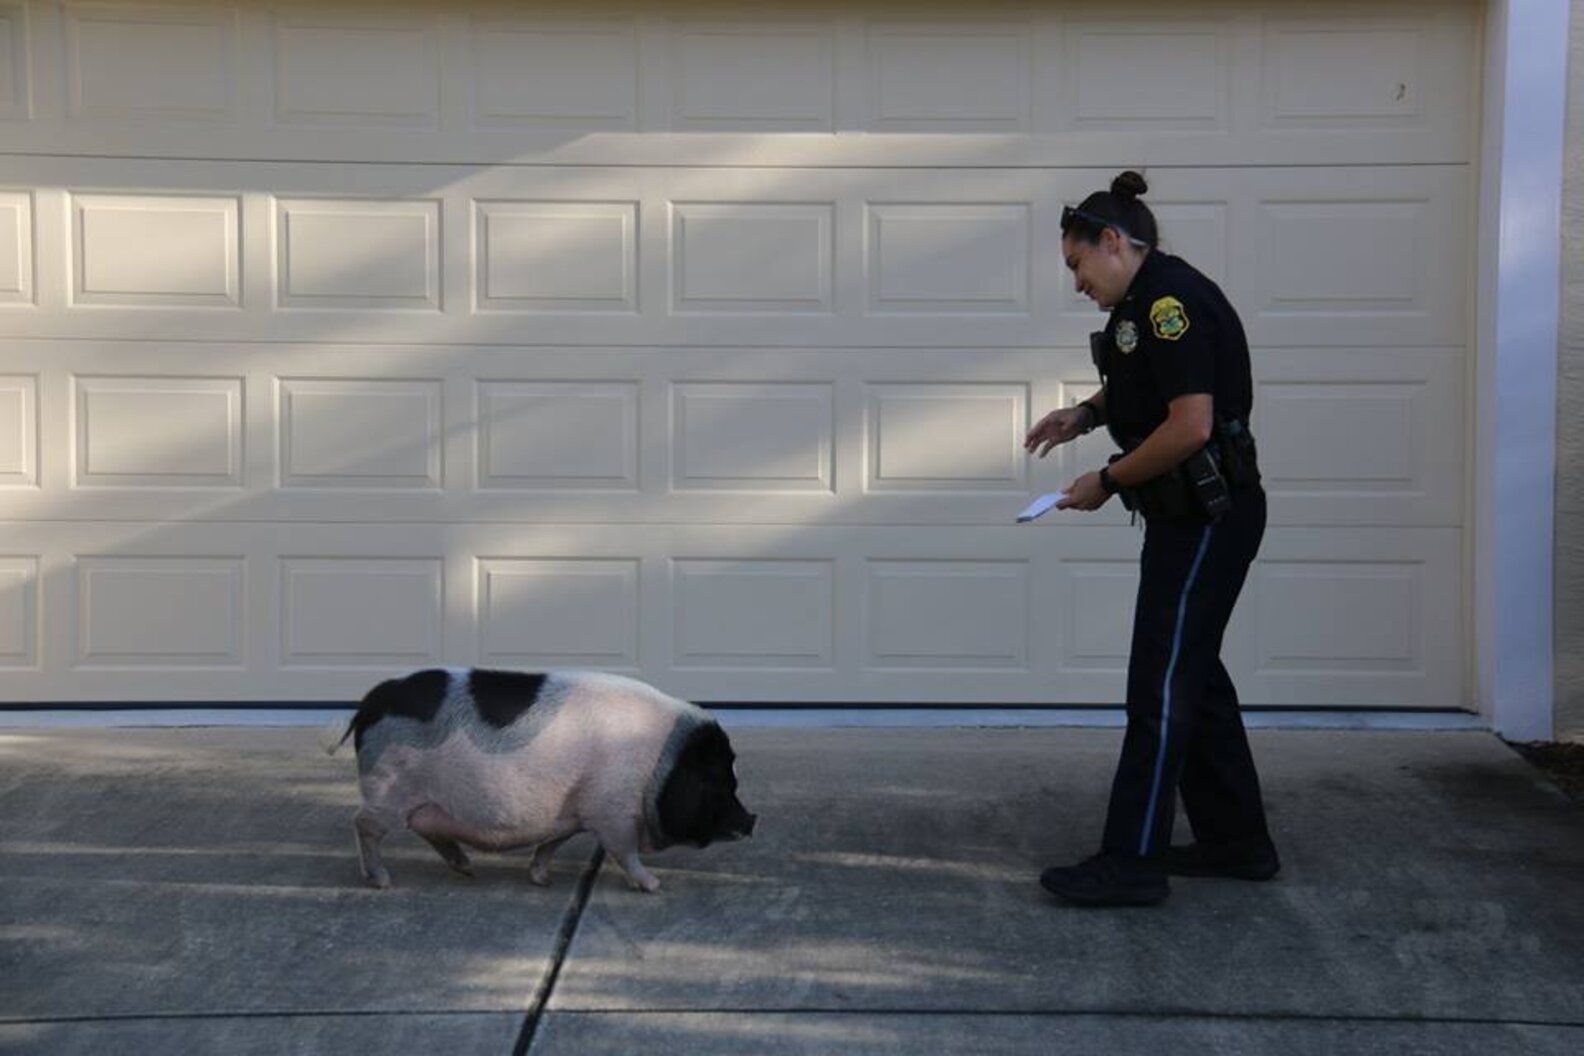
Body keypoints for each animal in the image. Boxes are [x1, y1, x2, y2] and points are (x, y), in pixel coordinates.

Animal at [326, 667, 755, 892]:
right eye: (720, 781)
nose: (752, 819)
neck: (660, 764)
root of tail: (368, 705)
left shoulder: (573, 813)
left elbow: (551, 843)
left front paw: (541, 880)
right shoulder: (613, 812)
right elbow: (624, 851)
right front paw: (653, 885)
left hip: (423, 801)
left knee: (427, 831)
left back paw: (467, 869)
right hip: (387, 789)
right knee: (362, 824)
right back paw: (382, 881)